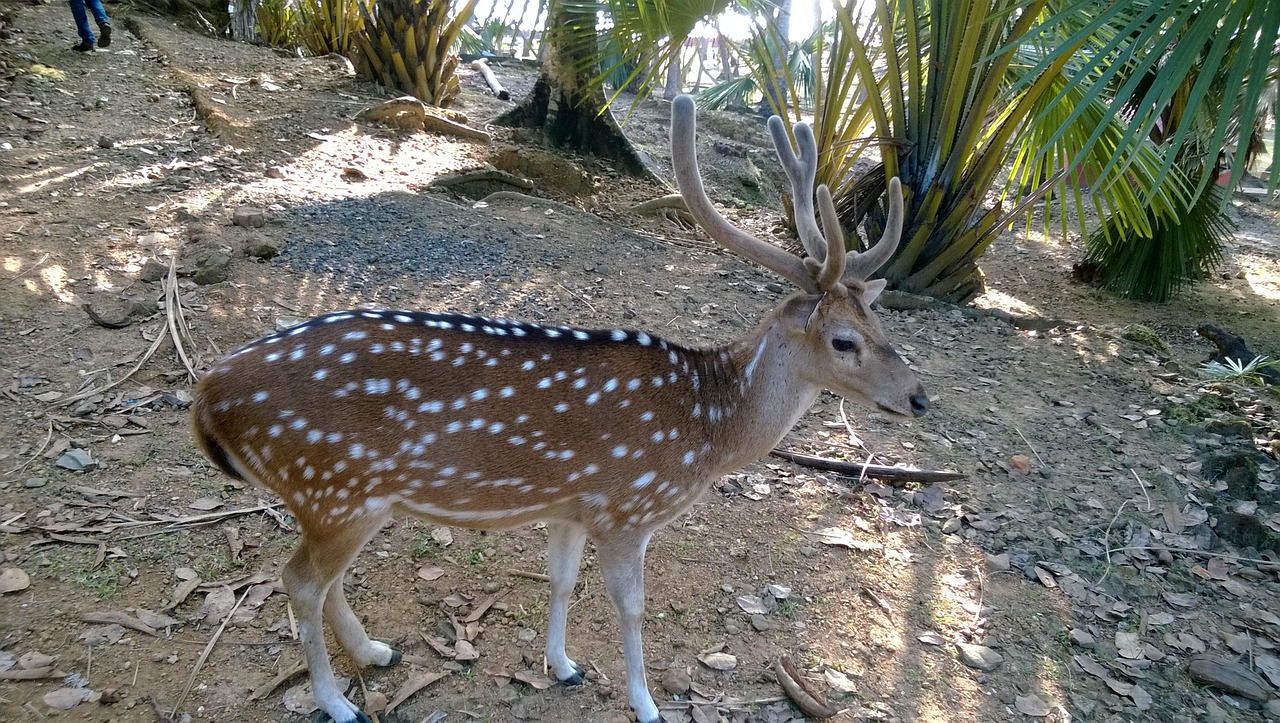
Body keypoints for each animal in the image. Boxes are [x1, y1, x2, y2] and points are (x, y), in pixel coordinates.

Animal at [190, 94, 927, 723]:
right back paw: (336, 702)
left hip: (340, 500)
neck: (706, 428)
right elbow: (631, 608)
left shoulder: (575, 505)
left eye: (881, 320)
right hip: (334, 485)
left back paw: (374, 652)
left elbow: (563, 581)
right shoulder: (628, 507)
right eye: (843, 340)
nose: (918, 396)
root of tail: (206, 399)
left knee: (322, 577)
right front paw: (646, 702)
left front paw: (564, 665)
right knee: (298, 580)